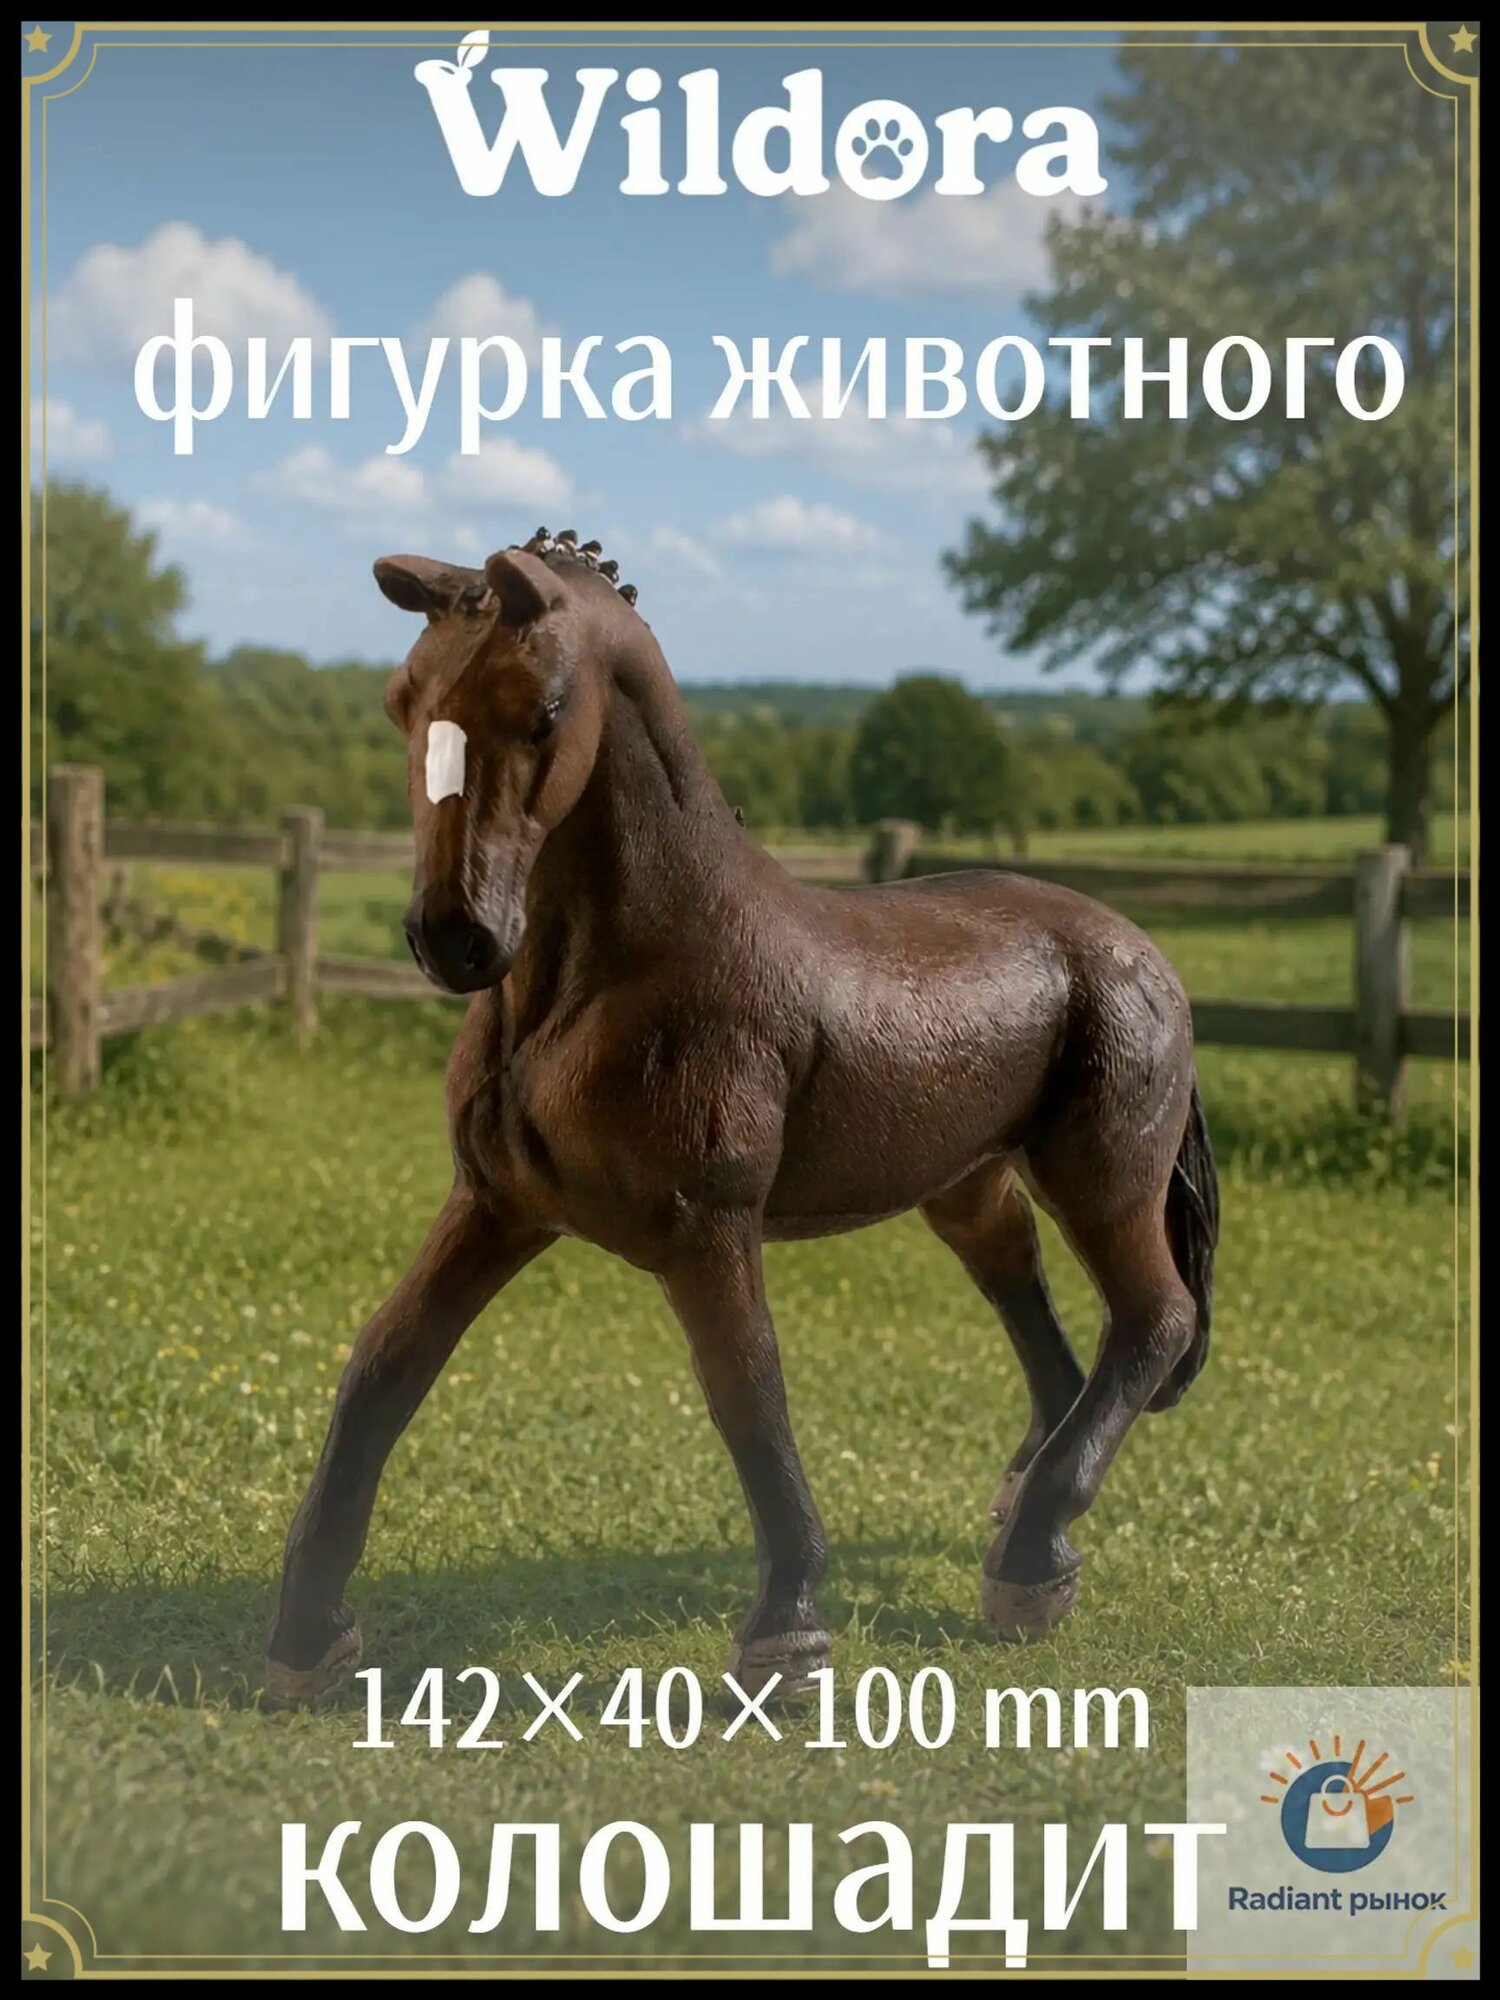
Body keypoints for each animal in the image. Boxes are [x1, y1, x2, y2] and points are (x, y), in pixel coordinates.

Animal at [265, 527, 1219, 1704]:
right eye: (404, 701)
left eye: (543, 710)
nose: (454, 937)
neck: (620, 976)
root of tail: (1146, 953)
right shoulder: (494, 1206)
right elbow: (381, 1372)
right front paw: (306, 1638)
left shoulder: (707, 1227)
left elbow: (749, 1395)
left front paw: (786, 1639)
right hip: (970, 1188)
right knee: (1045, 1329)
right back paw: (1029, 1528)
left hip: (1103, 1178)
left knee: (1155, 1317)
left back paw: (1030, 1565)